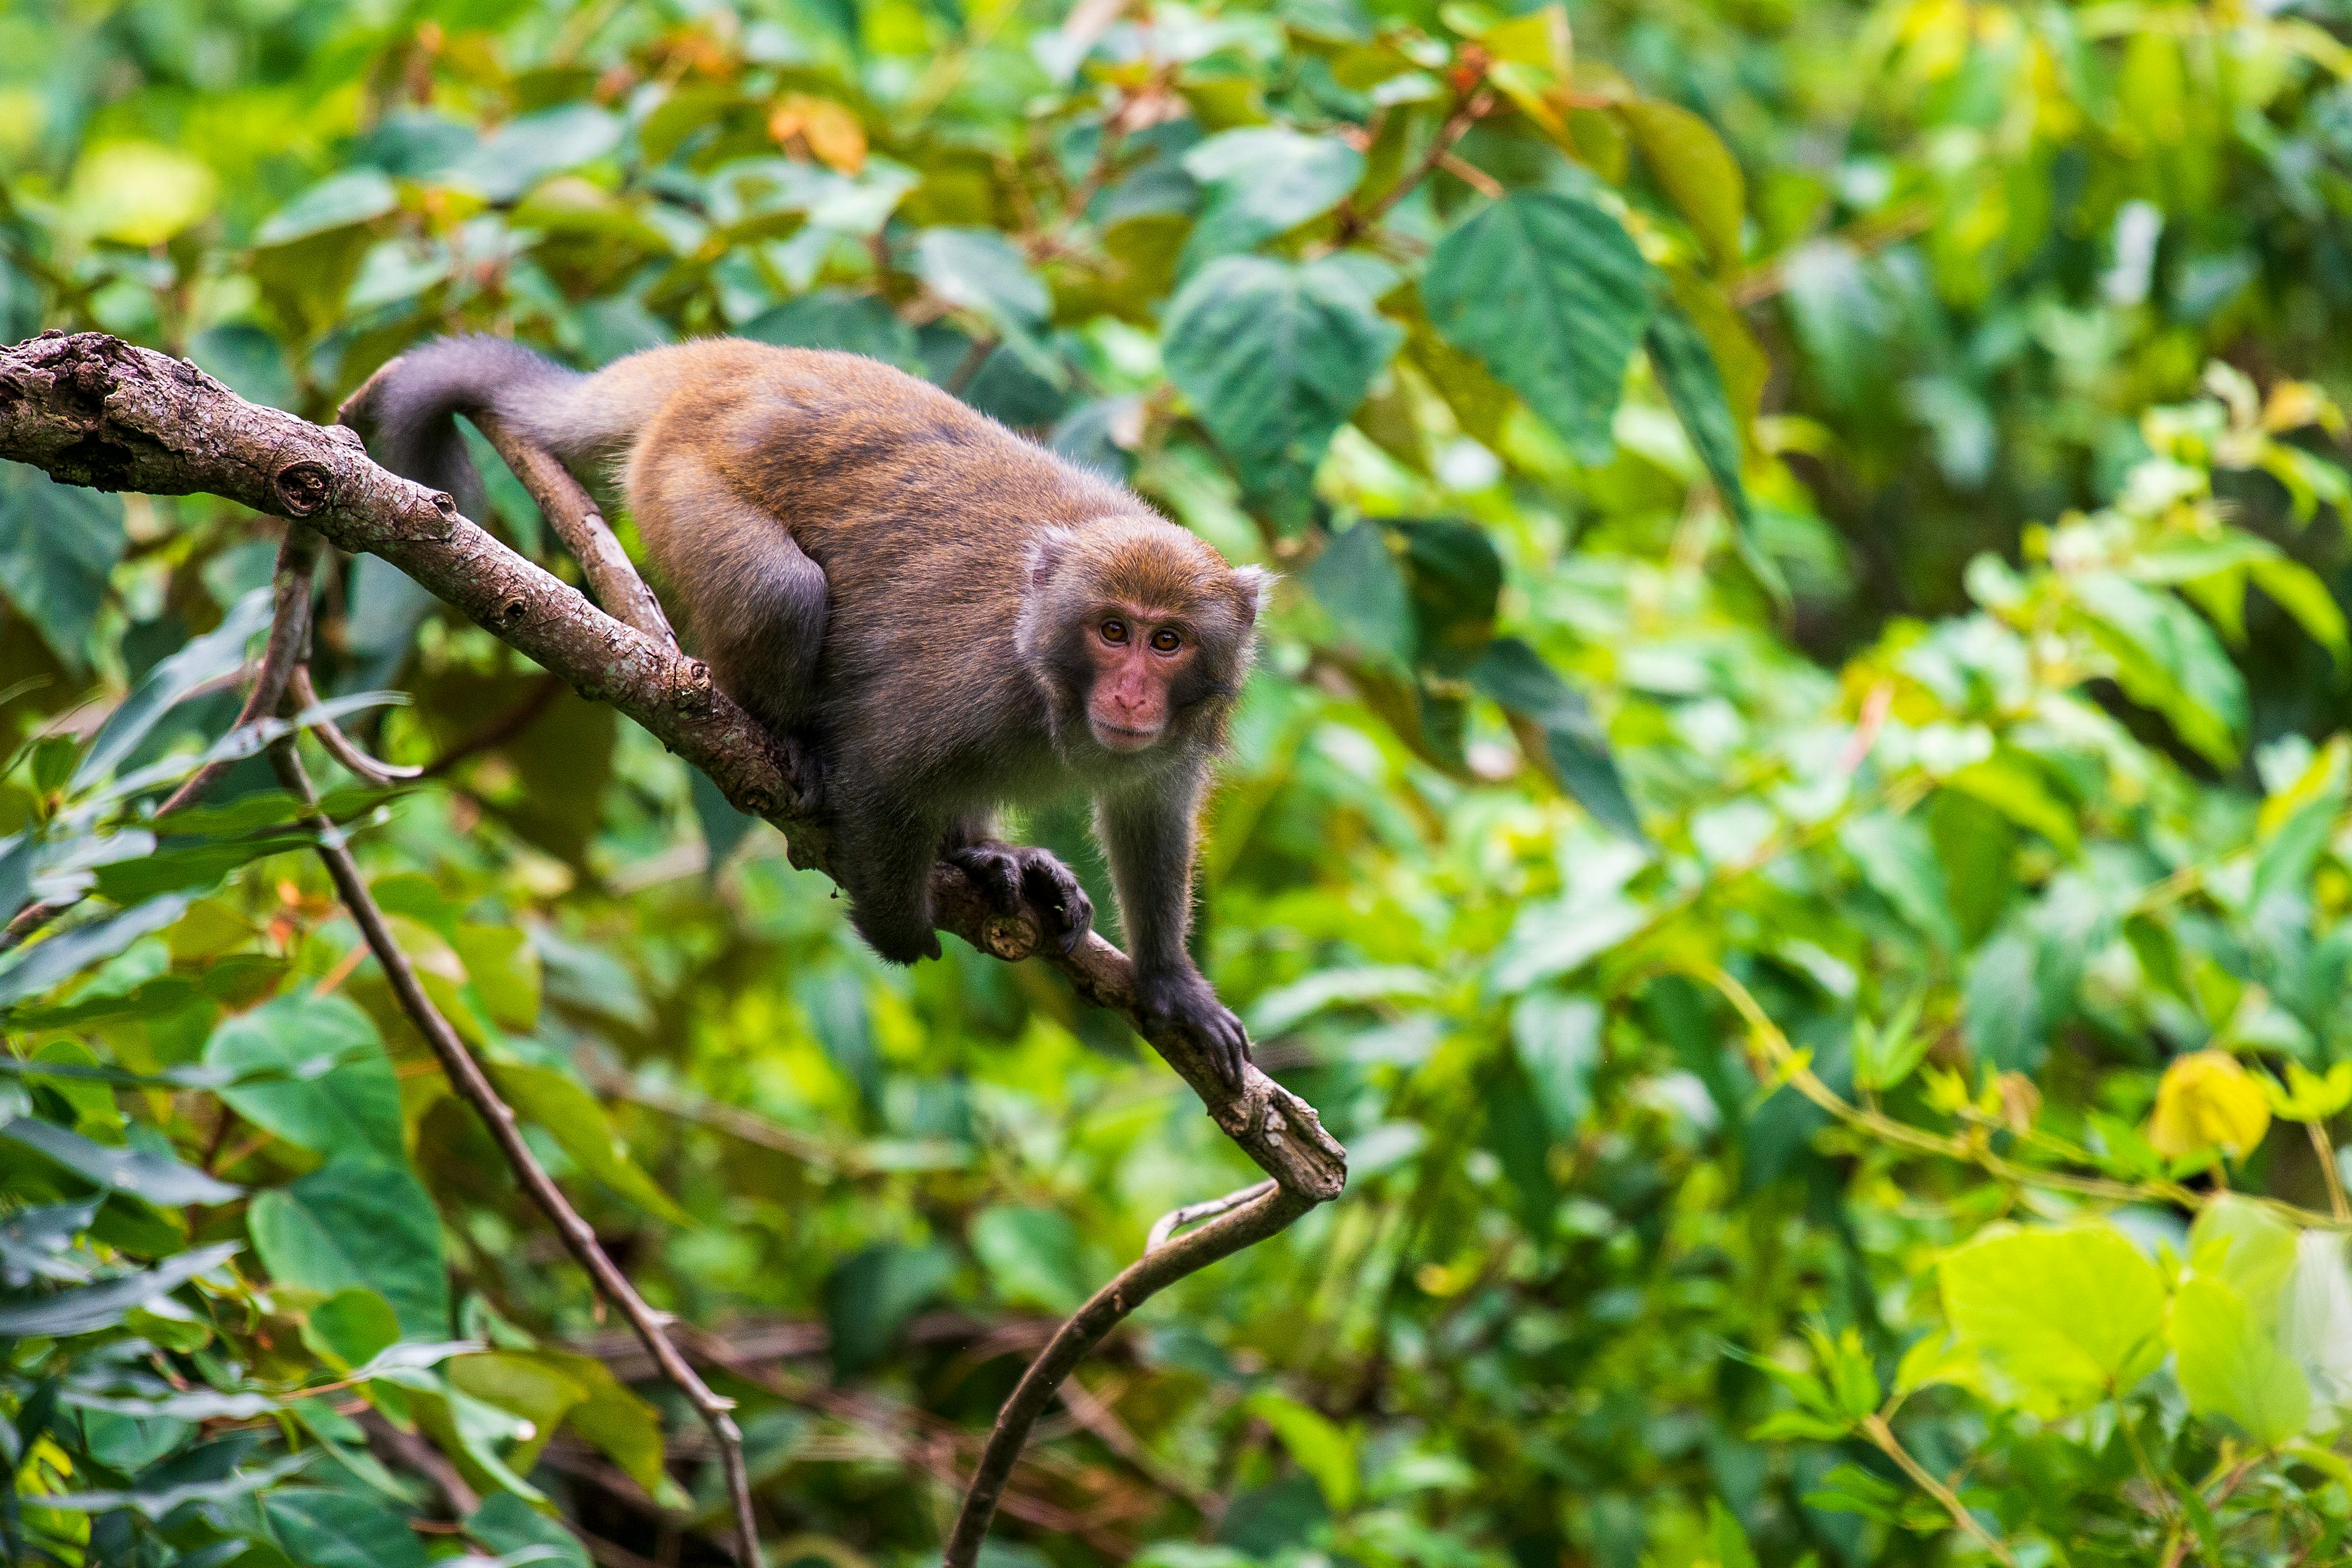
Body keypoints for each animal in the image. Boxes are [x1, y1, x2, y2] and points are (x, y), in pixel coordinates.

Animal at [342, 336, 1267, 1086]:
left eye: (1168, 641)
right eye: (1113, 631)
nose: (1131, 694)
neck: (1058, 690)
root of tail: (733, 361)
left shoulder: (1170, 744)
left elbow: (1152, 819)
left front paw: (1170, 984)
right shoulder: (978, 689)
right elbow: (886, 771)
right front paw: (897, 925)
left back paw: (983, 856)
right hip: (682, 486)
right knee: (784, 592)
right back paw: (790, 742)